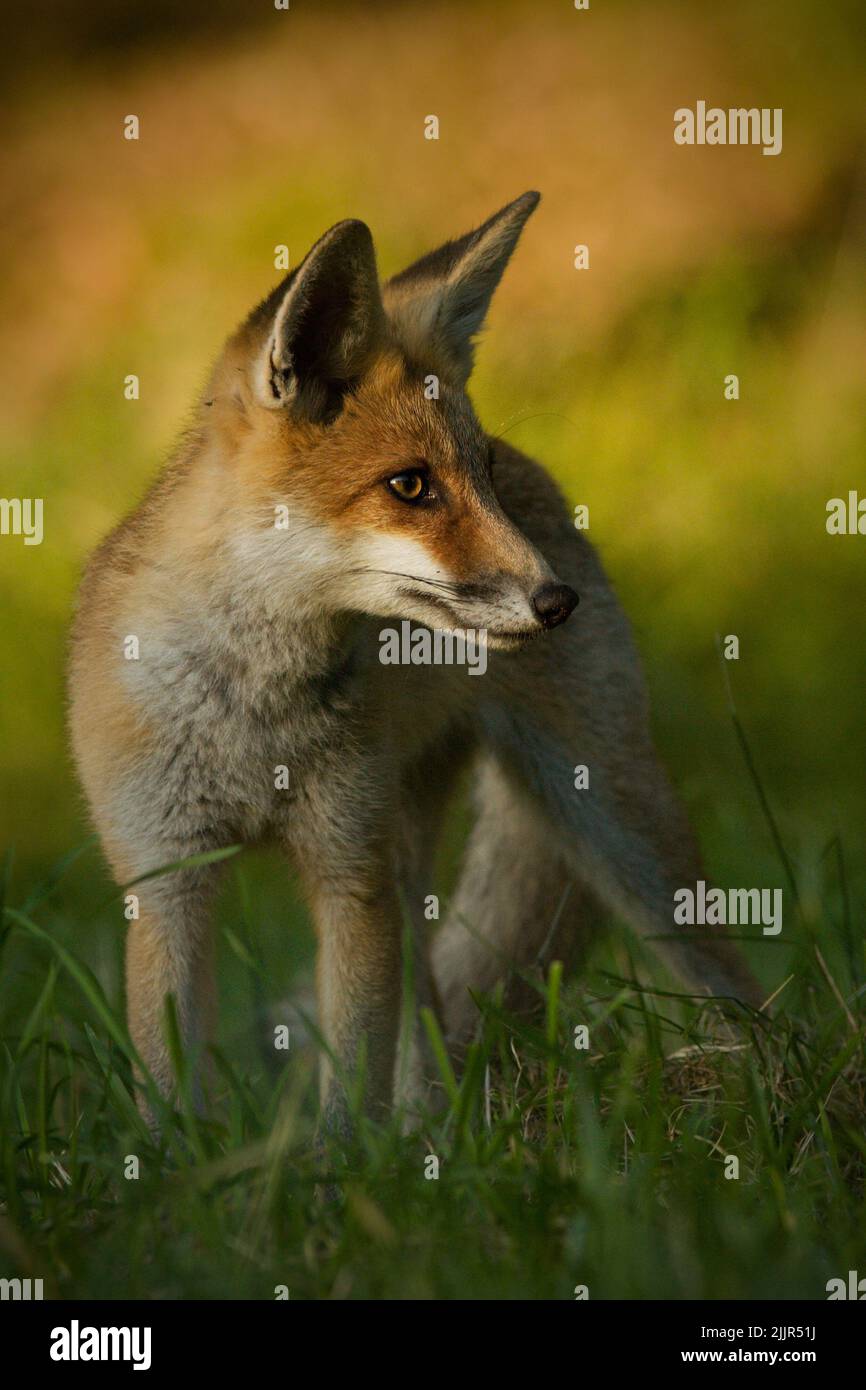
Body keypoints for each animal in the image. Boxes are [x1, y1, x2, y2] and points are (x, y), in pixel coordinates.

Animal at [68, 191, 763, 1136]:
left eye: (484, 472)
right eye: (410, 486)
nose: (556, 601)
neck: (251, 711)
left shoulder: (348, 874)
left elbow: (349, 1086)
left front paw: (344, 1172)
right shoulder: (166, 878)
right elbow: (170, 1090)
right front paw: (182, 1169)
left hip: (612, 828)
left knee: (725, 980)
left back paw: (779, 1081)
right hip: (412, 847)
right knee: (429, 1009)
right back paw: (433, 1131)